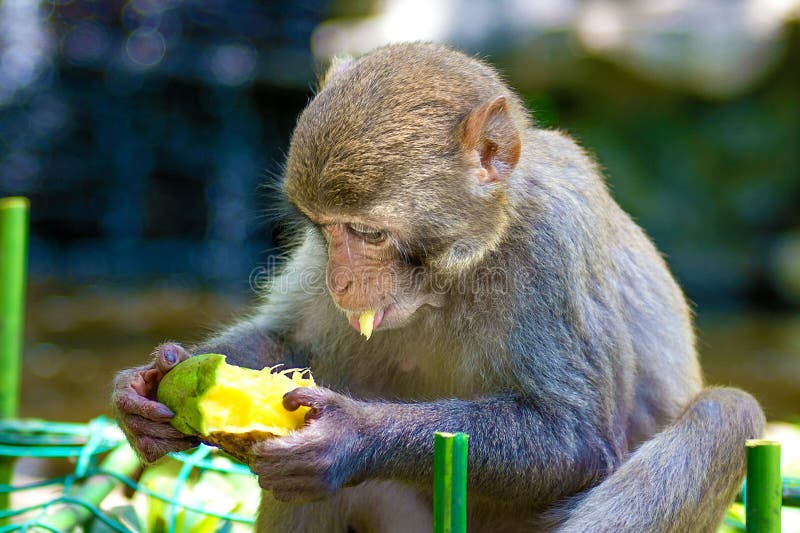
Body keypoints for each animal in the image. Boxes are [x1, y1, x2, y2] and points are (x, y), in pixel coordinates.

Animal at [112, 42, 765, 532]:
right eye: (324, 229)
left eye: (369, 233)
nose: (339, 279)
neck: (461, 272)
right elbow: (292, 345)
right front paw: (152, 381)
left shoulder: (555, 245)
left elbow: (578, 435)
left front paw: (350, 436)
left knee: (727, 414)